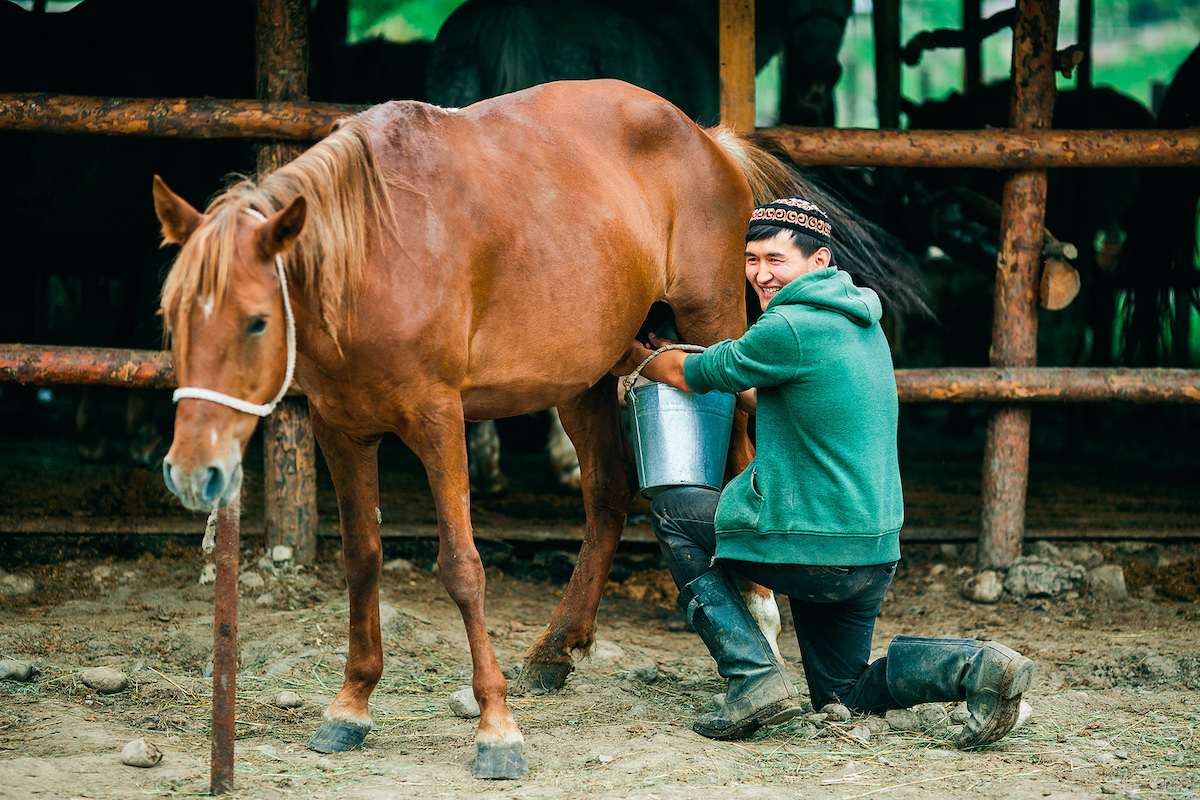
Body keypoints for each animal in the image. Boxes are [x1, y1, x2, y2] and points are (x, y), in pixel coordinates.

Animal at [154, 79, 923, 779]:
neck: (379, 249)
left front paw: (496, 731)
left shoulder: (438, 420)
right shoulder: (340, 431)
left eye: (257, 320)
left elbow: (462, 568)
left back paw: (758, 619)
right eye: (172, 317)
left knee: (736, 450)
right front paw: (351, 706)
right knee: (608, 495)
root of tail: (707, 137)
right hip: (582, 375)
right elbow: (362, 561)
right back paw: (558, 646)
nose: (193, 473)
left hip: (713, 324)